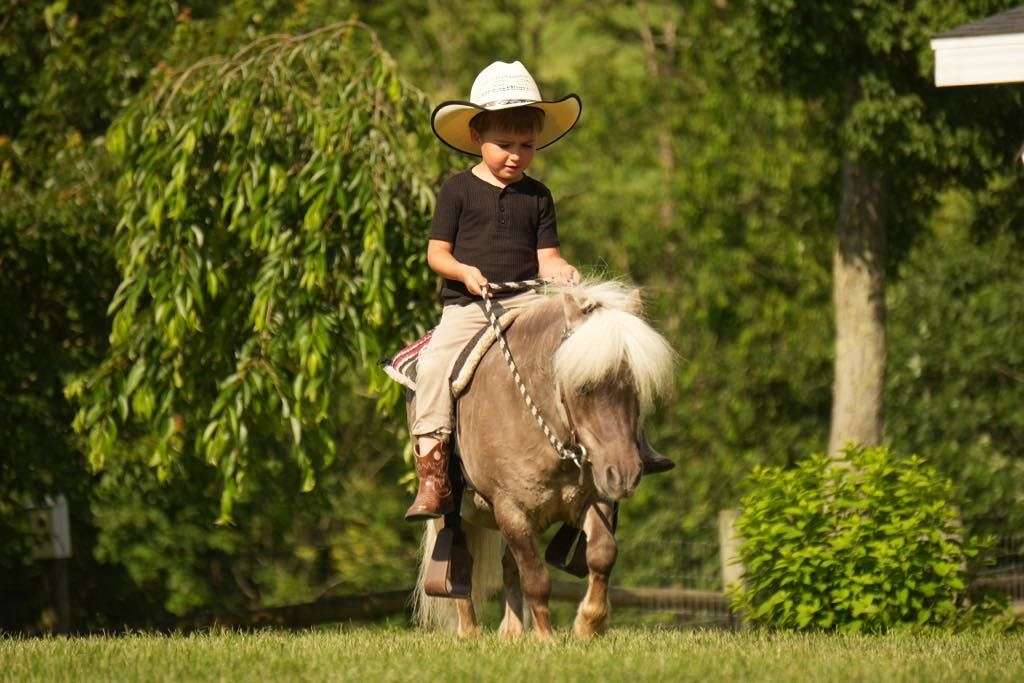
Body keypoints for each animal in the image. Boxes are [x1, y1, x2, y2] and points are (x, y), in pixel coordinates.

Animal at [411, 280, 675, 639]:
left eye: (635, 386)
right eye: (584, 387)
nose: (624, 474)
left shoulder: (594, 498)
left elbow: (602, 553)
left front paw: (588, 623)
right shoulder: (511, 510)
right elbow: (536, 577)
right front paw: (547, 638)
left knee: (508, 568)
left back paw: (512, 632)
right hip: (450, 511)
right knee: (458, 566)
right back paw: (470, 631)